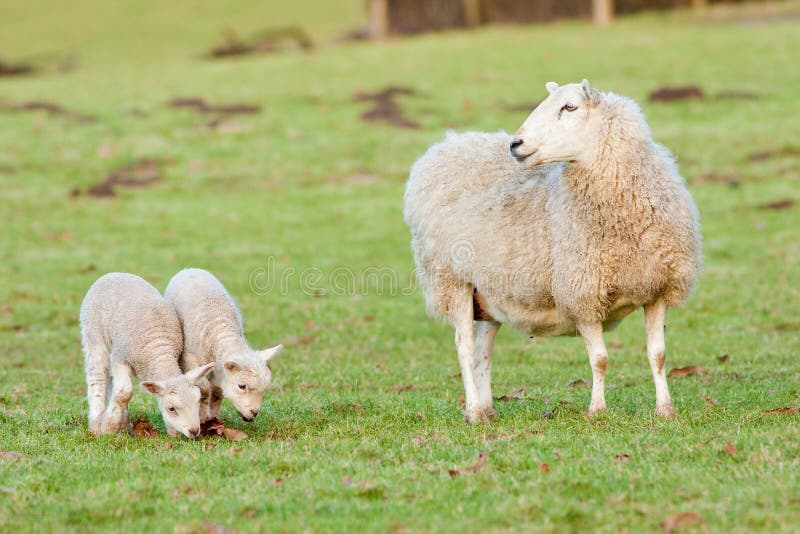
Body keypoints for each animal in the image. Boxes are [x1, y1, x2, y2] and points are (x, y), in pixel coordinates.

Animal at [80, 273, 215, 438]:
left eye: (197, 401)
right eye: (171, 408)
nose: (194, 431)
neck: (159, 352)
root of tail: (113, 274)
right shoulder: (120, 357)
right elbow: (124, 392)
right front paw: (108, 428)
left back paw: (124, 426)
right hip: (93, 332)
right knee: (97, 376)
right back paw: (96, 424)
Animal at [164, 268, 283, 423]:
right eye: (241, 386)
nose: (254, 412)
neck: (221, 330)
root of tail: (191, 269)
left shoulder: (220, 371)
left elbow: (216, 393)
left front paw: (215, 418)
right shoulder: (191, 358)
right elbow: (204, 390)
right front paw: (204, 419)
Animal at [403, 80, 701, 423]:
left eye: (569, 107)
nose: (515, 144)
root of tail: (444, 147)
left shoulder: (658, 289)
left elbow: (658, 354)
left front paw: (665, 409)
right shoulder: (582, 293)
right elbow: (600, 359)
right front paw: (597, 410)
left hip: (490, 290)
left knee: (482, 348)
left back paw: (488, 407)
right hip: (451, 279)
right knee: (464, 346)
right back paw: (475, 412)